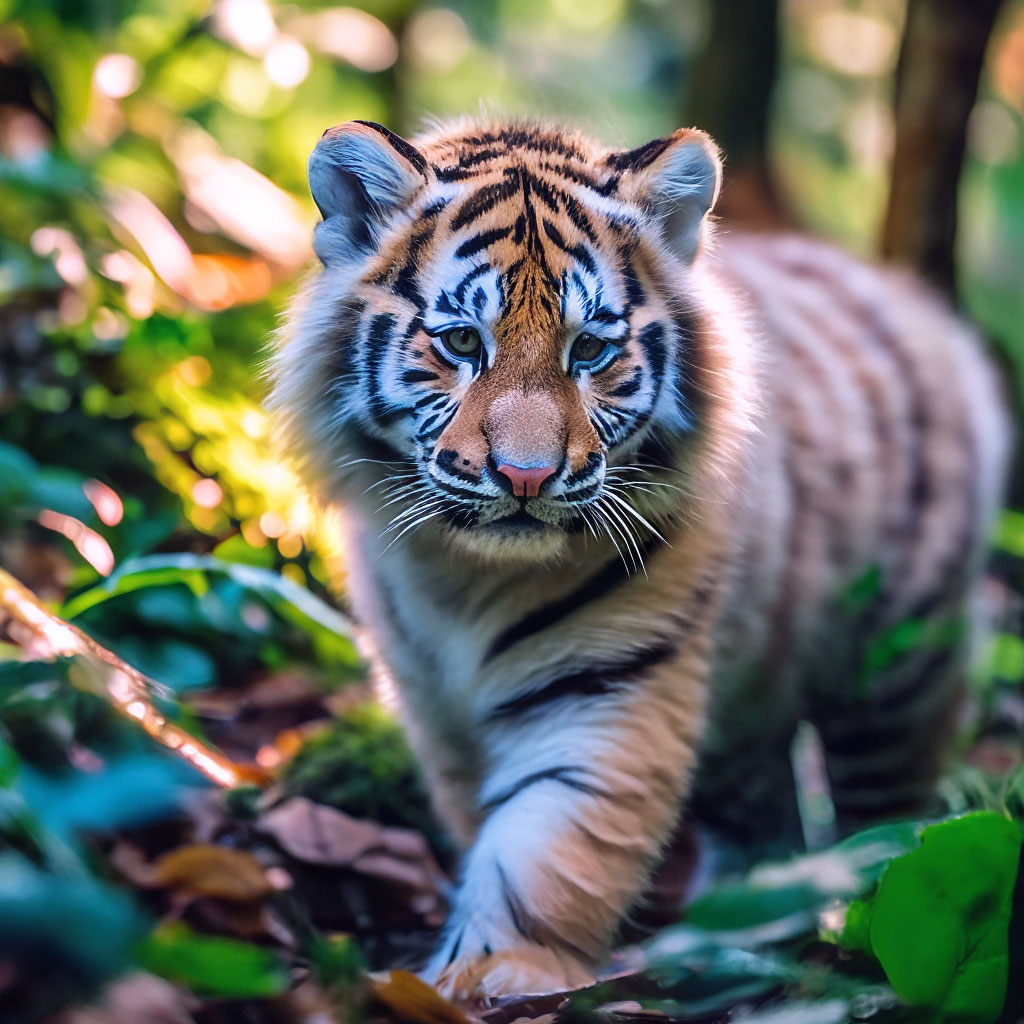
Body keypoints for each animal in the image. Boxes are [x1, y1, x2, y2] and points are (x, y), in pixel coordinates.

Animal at [268, 118, 1010, 1000]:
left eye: (589, 349)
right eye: (459, 342)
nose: (525, 475)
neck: (465, 577)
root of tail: (905, 297)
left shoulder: (603, 681)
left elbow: (548, 844)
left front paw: (495, 973)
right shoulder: (431, 702)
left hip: (899, 669)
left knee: (891, 812)